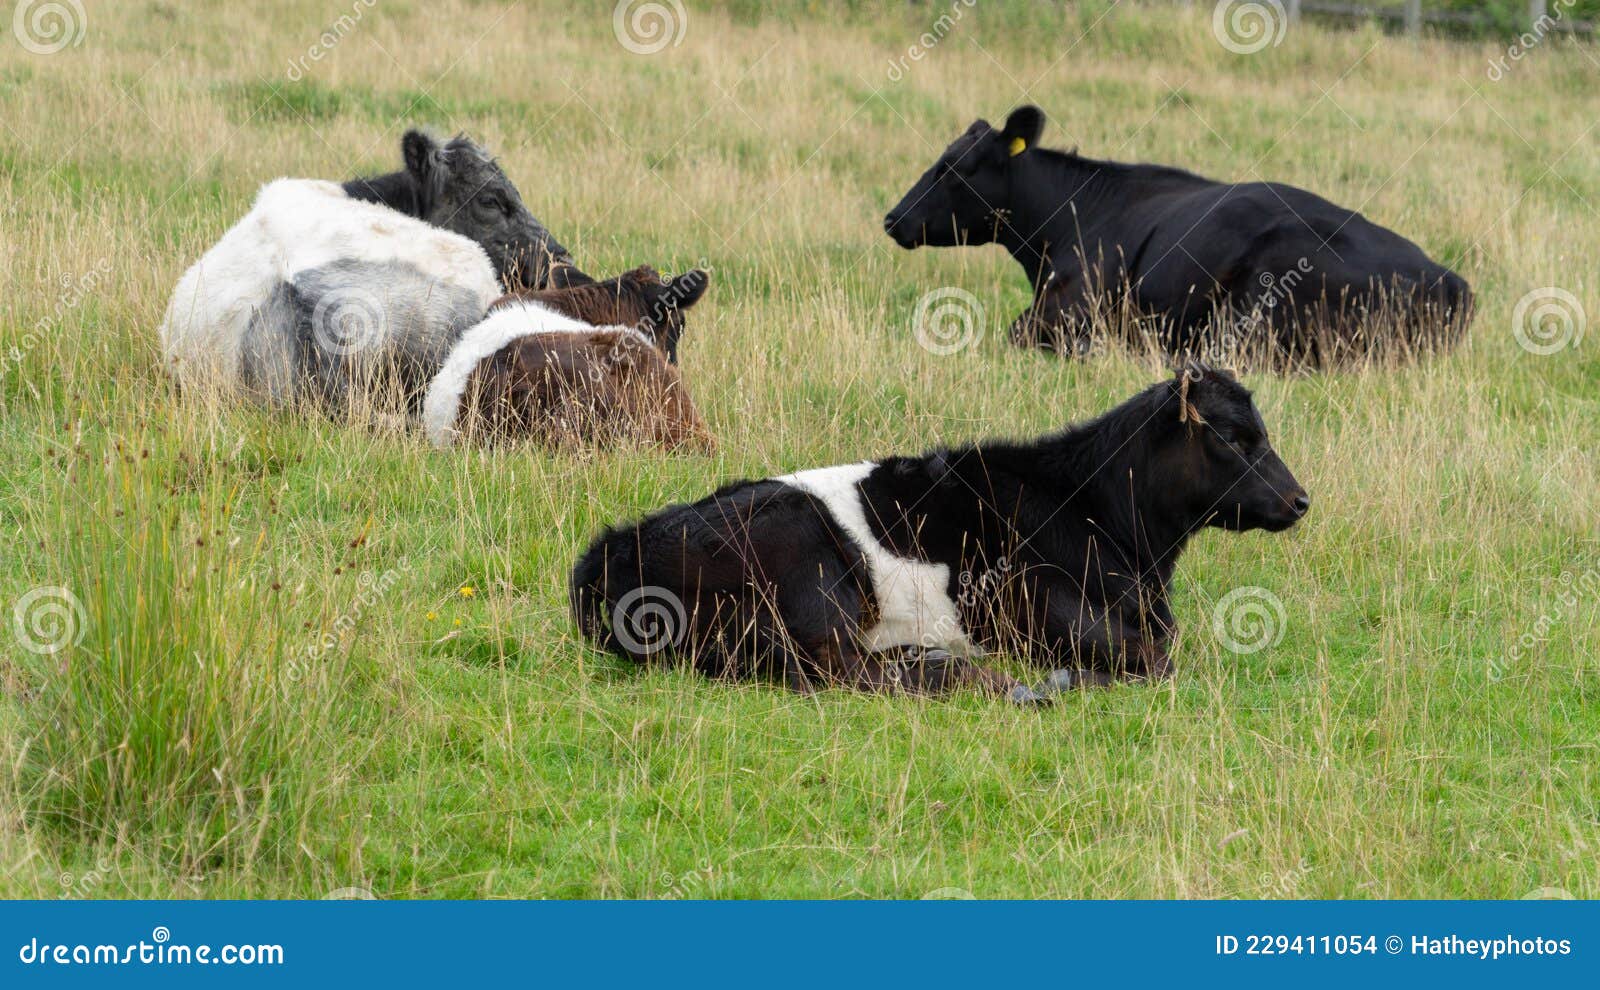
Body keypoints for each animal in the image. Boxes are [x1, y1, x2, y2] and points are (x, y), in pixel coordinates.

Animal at [570, 364, 1308, 702]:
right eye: (1235, 438)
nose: (1301, 500)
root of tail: (614, 547)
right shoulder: (1030, 602)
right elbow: (1156, 659)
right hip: (811, 574)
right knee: (841, 670)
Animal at [884, 106, 1473, 367]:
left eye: (955, 169)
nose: (892, 218)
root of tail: (1448, 280)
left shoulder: (1072, 308)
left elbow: (1016, 332)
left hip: (1258, 303)